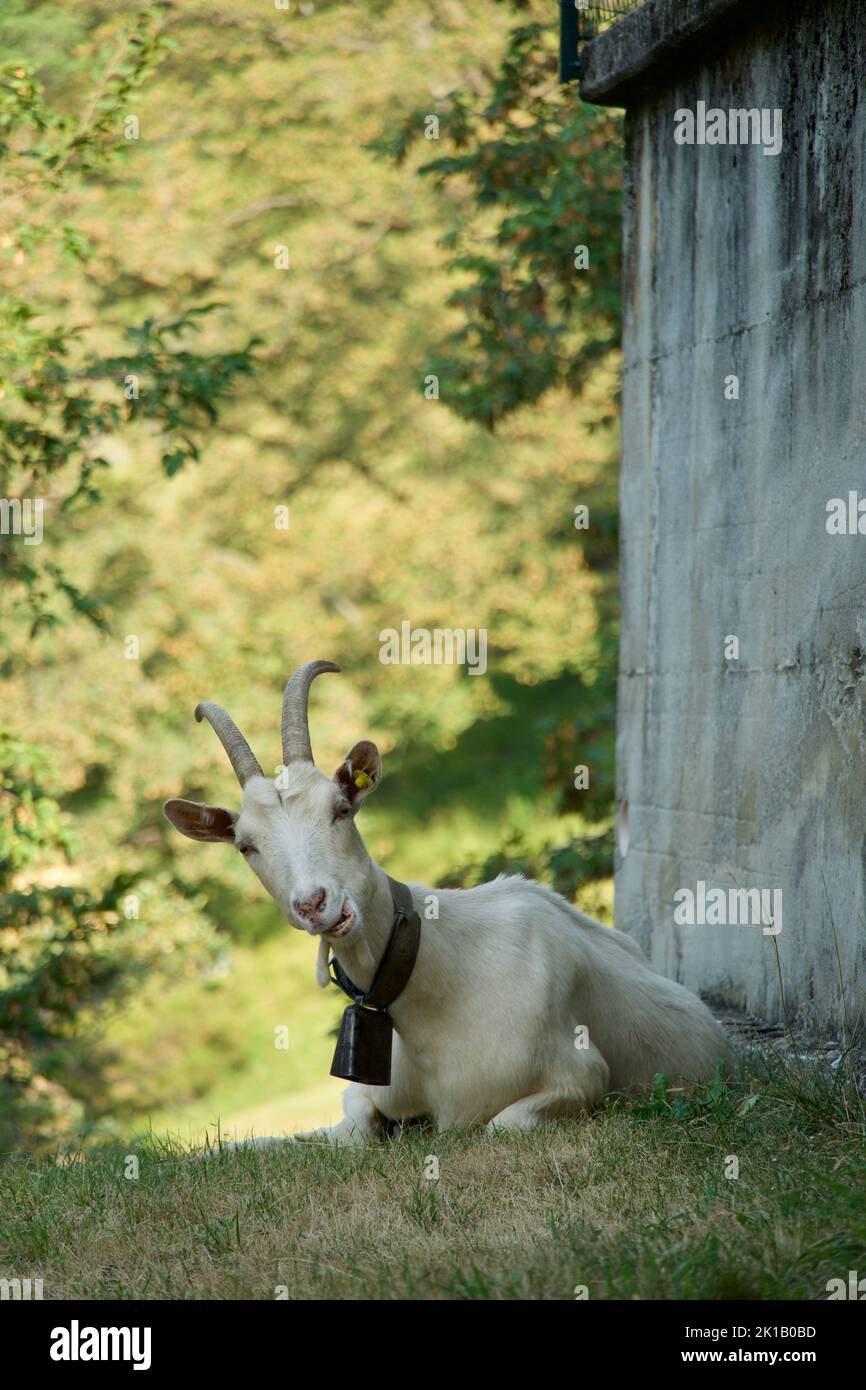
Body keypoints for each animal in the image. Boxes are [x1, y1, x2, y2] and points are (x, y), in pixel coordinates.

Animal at [164, 661, 729, 1144]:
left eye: (341, 808)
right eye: (246, 846)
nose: (315, 904)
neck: (436, 978)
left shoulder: (579, 1077)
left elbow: (502, 1125)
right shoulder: (365, 1095)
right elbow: (353, 1130)